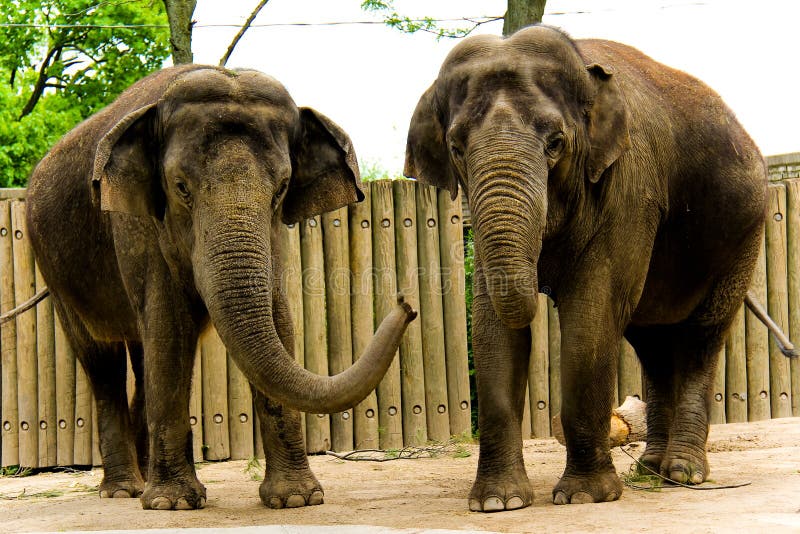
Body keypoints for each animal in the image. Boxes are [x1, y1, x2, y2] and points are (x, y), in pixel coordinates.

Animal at [26, 64, 417, 510]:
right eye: (180, 187)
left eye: (281, 189)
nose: (406, 303)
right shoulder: (136, 223)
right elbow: (169, 326)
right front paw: (174, 504)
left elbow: (278, 321)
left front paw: (297, 499)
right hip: (54, 271)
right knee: (102, 360)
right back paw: (124, 490)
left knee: (142, 357)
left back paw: (141, 482)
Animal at [405, 25, 772, 511]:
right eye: (456, 148)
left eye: (556, 144)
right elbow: (490, 325)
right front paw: (499, 503)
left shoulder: (630, 189)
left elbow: (592, 314)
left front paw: (584, 497)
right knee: (652, 341)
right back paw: (651, 469)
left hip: (744, 234)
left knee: (701, 336)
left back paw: (683, 473)